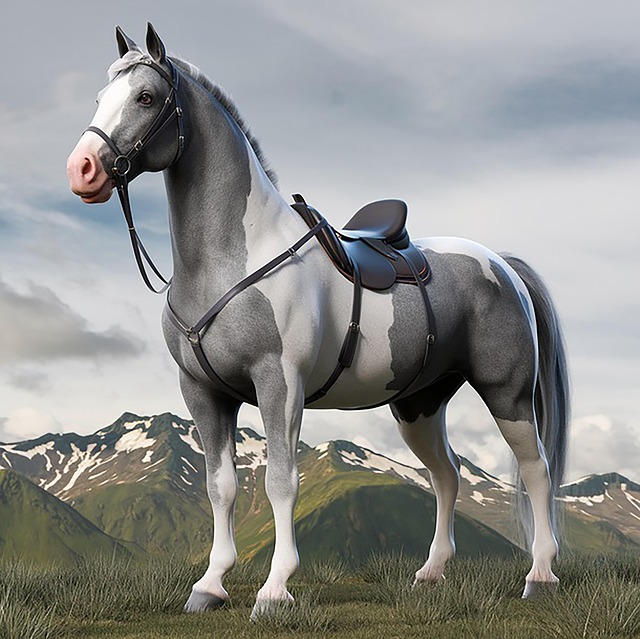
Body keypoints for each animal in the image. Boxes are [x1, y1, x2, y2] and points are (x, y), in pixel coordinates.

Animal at [67, 24, 570, 618]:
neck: (232, 256)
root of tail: (501, 263)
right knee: (447, 476)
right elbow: (220, 487)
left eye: (145, 97)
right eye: (101, 98)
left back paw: (540, 574)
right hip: (418, 405)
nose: (82, 170)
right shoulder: (203, 393)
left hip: (506, 394)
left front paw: (274, 588)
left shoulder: (278, 384)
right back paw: (430, 572)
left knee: (535, 470)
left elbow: (281, 482)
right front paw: (210, 585)